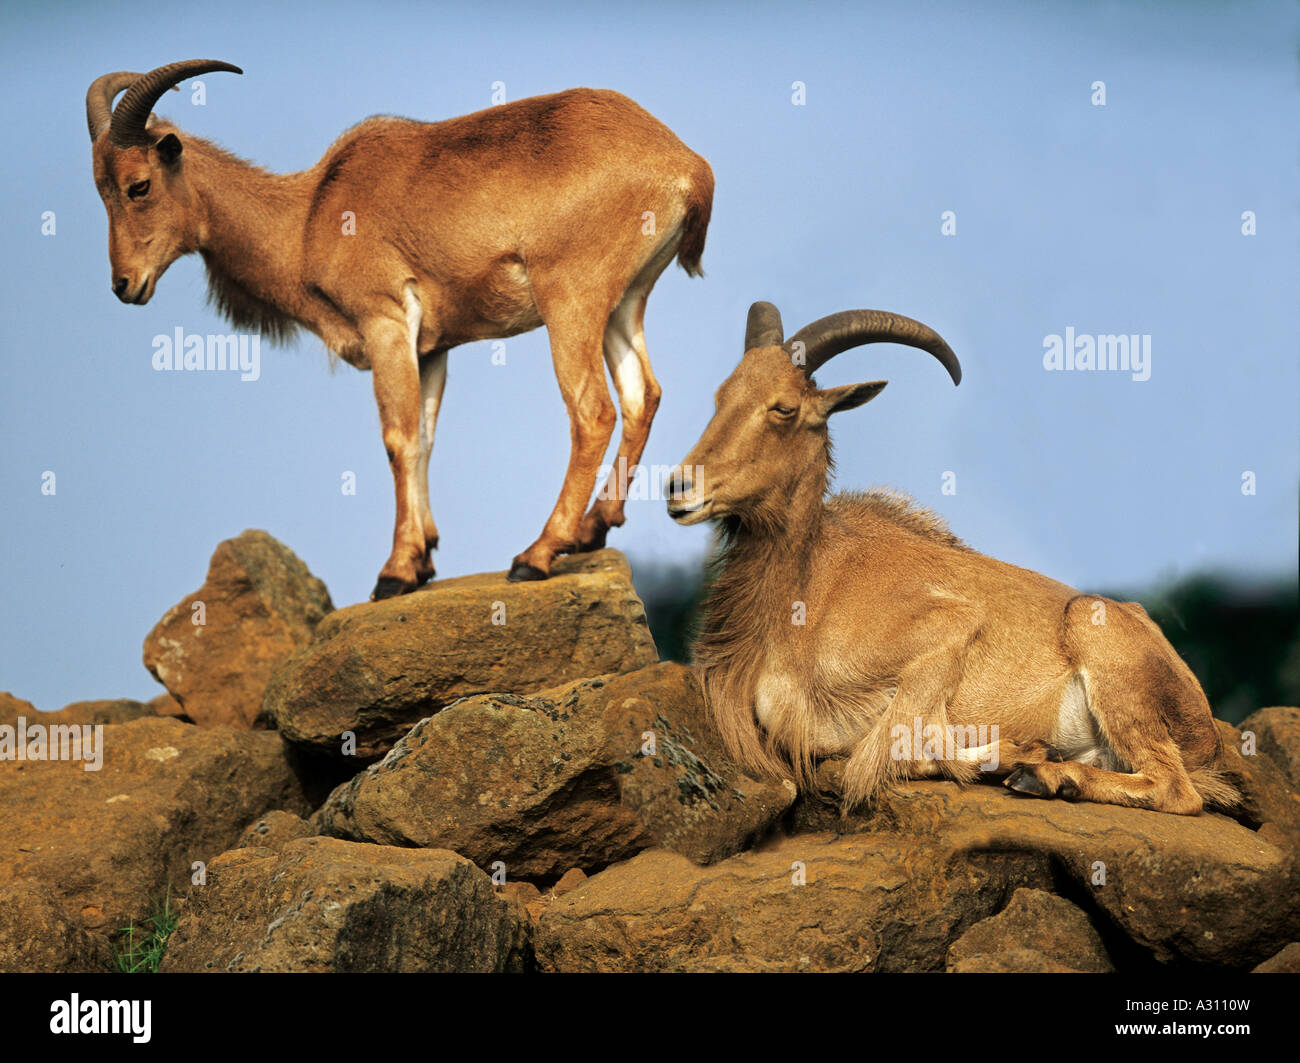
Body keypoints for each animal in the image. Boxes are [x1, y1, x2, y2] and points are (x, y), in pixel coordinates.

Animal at [87, 59, 713, 598]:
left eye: (139, 185)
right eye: (100, 189)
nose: (124, 284)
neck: (307, 216)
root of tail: (686, 167)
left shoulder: (384, 320)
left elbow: (398, 438)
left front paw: (394, 572)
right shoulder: (431, 348)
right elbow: (426, 436)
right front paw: (424, 558)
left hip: (571, 298)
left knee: (593, 411)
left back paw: (536, 554)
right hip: (624, 302)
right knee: (642, 395)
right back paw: (593, 528)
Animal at [665, 301, 1238, 816]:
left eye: (783, 407)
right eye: (721, 397)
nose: (679, 487)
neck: (807, 591)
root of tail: (1205, 729)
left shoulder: (948, 630)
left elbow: (891, 751)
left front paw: (1021, 755)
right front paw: (1022, 753)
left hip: (1101, 645)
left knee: (1177, 790)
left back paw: (1049, 776)